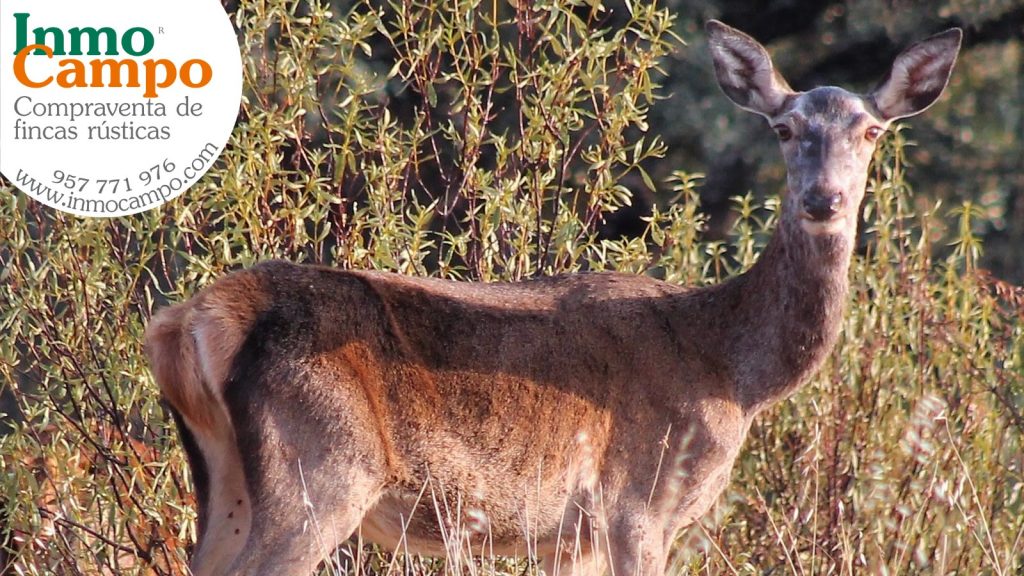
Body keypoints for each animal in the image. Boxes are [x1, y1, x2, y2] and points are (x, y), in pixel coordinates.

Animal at [144, 20, 958, 569]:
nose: (823, 199)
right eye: (786, 129)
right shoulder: (638, 502)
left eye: (873, 131)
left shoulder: (574, 540)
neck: (733, 371)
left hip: (228, 481)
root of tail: (189, 323)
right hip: (321, 468)